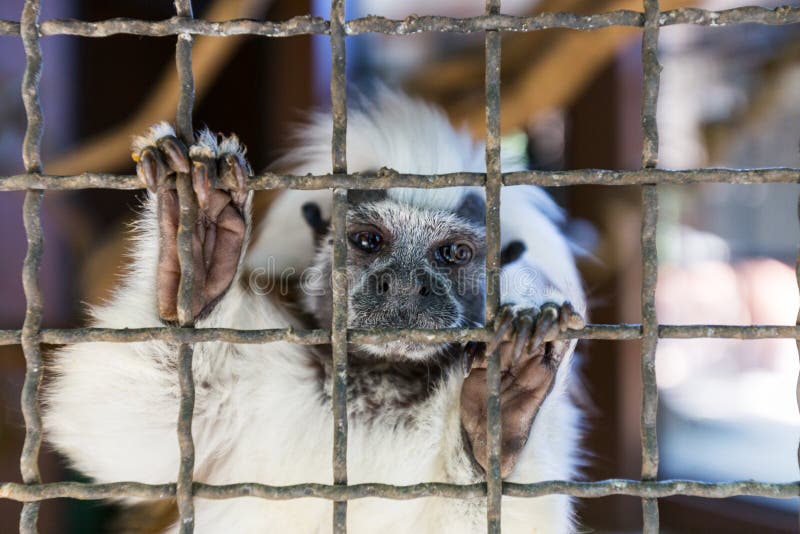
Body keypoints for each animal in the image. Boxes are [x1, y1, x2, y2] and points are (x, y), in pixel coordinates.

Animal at [43, 91, 587, 533]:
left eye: (453, 254)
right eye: (368, 241)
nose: (405, 284)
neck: (380, 385)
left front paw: (498, 412)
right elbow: (126, 430)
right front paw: (196, 260)